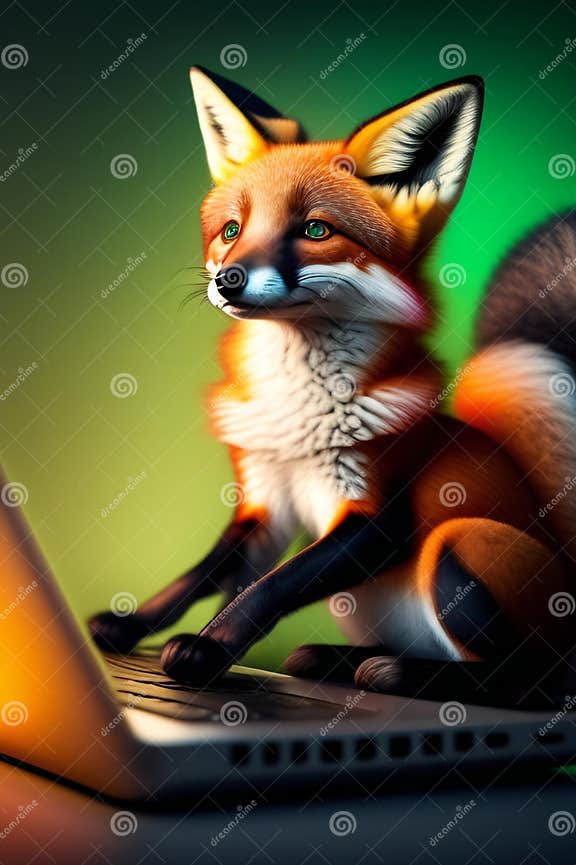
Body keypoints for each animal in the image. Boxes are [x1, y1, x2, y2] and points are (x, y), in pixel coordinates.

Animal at [90, 67, 576, 706]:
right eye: (231, 231)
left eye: (315, 230)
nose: (228, 279)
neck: (299, 418)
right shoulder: (266, 502)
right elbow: (200, 576)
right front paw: (129, 625)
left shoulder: (377, 519)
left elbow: (270, 588)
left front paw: (207, 650)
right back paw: (337, 660)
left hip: (456, 545)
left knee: (540, 682)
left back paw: (402, 673)